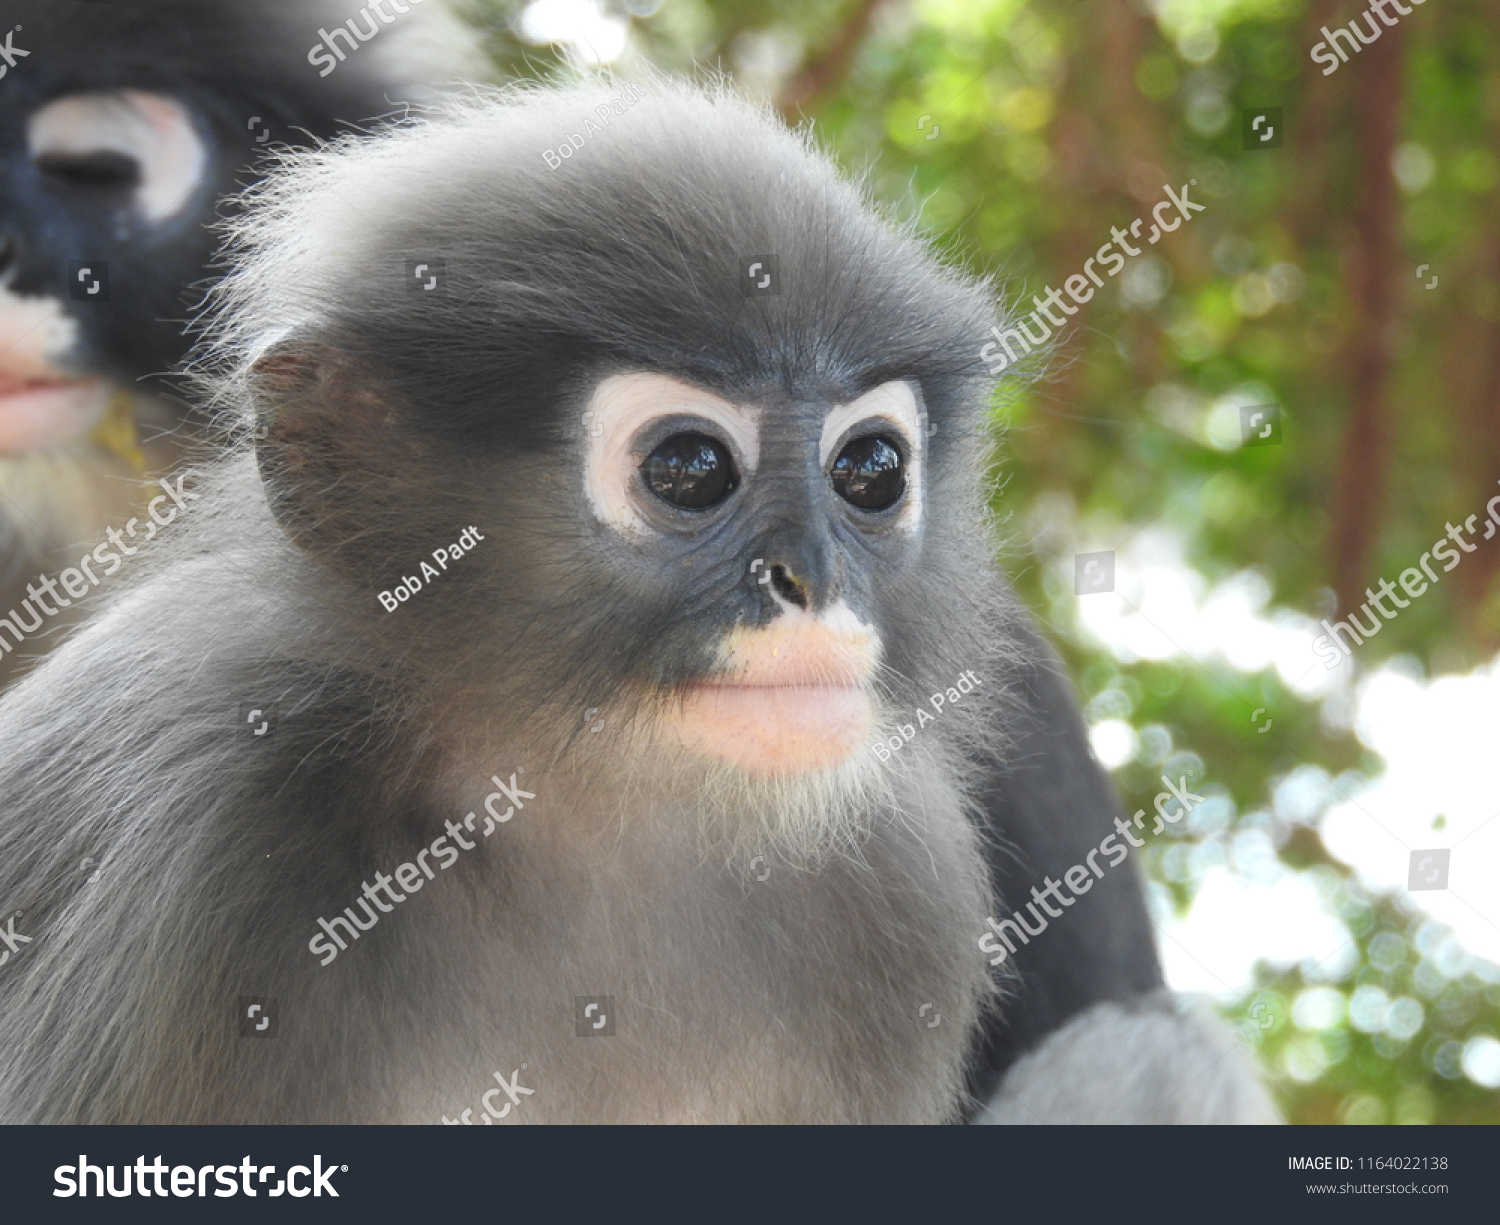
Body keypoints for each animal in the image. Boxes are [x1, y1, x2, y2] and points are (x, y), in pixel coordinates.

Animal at [0, 80, 1277, 1123]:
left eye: (871, 471)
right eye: (690, 468)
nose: (811, 581)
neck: (572, 806)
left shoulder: (899, 877)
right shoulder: (207, 832)